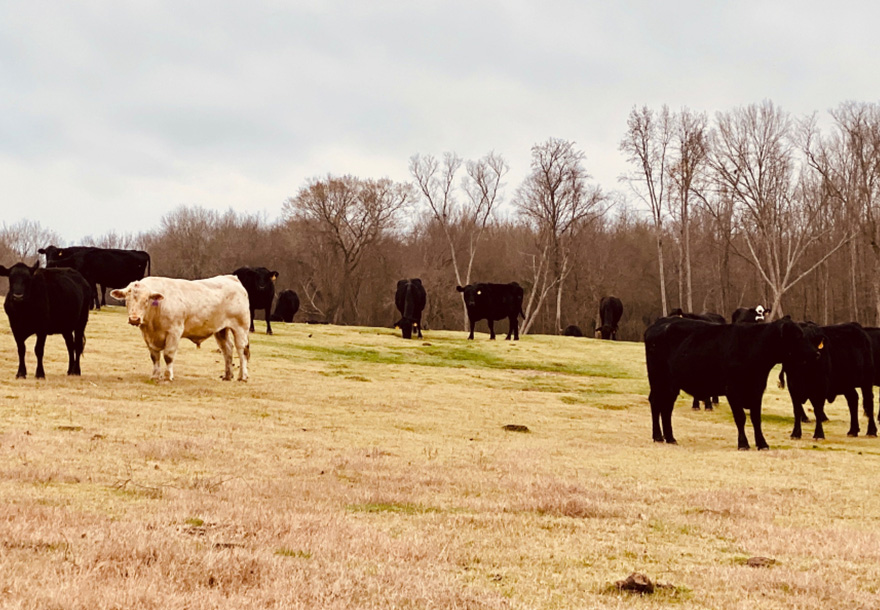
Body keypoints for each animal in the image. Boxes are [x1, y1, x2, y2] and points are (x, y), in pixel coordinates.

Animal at [110, 276, 250, 382]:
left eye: (146, 300)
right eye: (127, 299)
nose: (134, 319)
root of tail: (231, 278)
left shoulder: (174, 332)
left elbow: (168, 355)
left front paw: (168, 377)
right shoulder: (148, 336)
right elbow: (154, 356)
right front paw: (155, 376)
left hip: (240, 328)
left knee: (241, 350)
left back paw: (242, 377)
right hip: (221, 330)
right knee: (227, 350)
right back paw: (227, 375)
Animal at [645, 316, 821, 450]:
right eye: (797, 336)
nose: (817, 353)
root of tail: (659, 324)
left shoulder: (757, 389)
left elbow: (756, 418)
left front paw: (762, 443)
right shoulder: (732, 390)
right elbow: (740, 417)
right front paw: (743, 444)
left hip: (671, 385)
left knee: (666, 408)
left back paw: (670, 437)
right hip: (658, 380)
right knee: (655, 403)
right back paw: (658, 436)